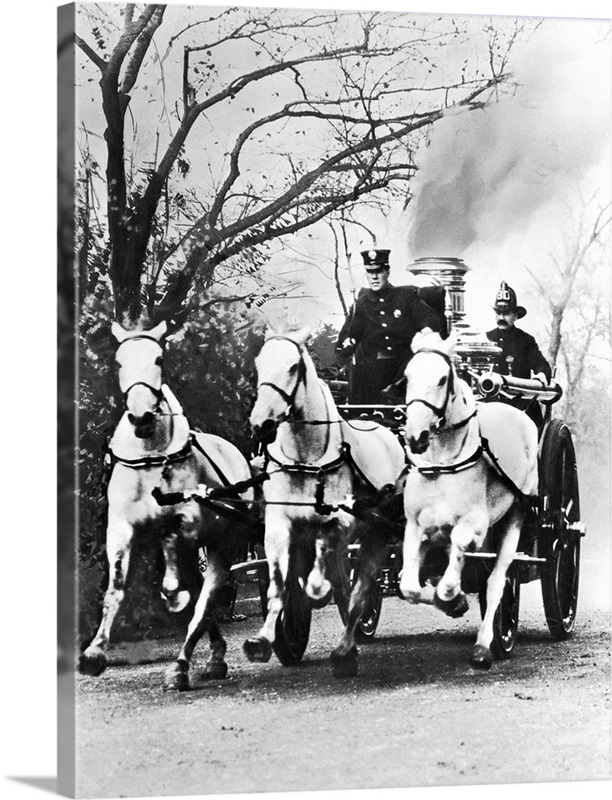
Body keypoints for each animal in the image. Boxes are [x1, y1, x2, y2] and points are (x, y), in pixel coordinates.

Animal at [79, 321, 254, 690]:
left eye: (159, 358)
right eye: (119, 361)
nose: (141, 417)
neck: (150, 458)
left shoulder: (183, 524)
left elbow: (175, 583)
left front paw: (174, 599)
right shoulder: (120, 526)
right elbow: (115, 588)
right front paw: (94, 653)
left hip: (225, 544)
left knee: (207, 596)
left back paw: (182, 665)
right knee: (201, 594)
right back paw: (214, 656)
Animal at [243, 323, 406, 676]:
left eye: (293, 366)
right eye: (259, 364)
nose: (261, 423)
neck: (307, 458)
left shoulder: (338, 524)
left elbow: (327, 580)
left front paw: (317, 591)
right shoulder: (278, 526)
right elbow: (279, 585)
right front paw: (262, 640)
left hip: (377, 532)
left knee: (358, 588)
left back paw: (345, 650)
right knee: (349, 587)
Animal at [399, 330, 539, 669]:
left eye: (441, 379)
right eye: (407, 376)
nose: (415, 437)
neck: (442, 464)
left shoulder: (474, 524)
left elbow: (454, 576)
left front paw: (453, 599)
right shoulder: (415, 527)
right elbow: (409, 586)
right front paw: (452, 601)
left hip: (515, 518)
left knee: (497, 581)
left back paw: (484, 645)